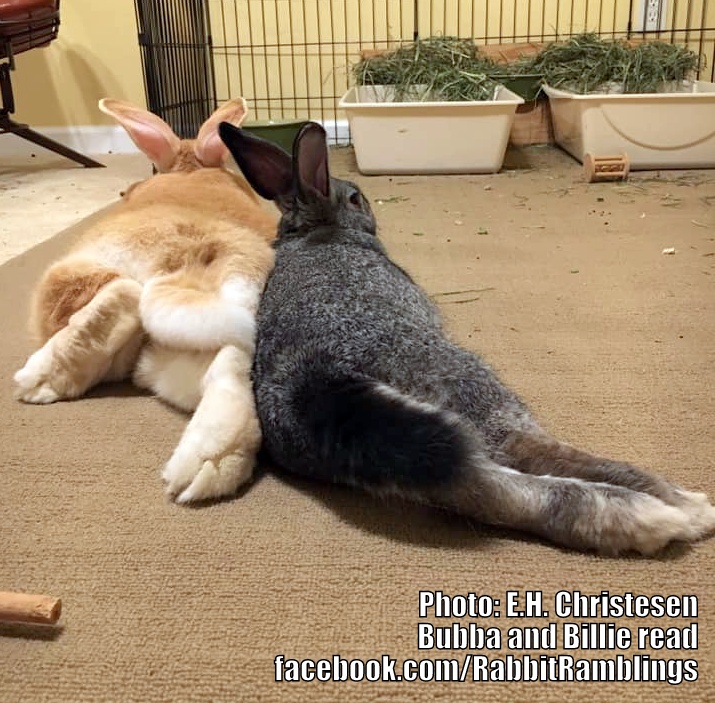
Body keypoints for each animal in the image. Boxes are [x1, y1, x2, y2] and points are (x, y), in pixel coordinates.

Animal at [14, 97, 278, 504]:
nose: (125, 193)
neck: (191, 169)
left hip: (67, 280)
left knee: (123, 296)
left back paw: (39, 379)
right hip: (183, 354)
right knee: (229, 362)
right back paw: (210, 462)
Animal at [218, 120, 715, 555]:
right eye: (356, 198)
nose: (371, 209)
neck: (318, 230)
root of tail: (316, 381)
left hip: (430, 458)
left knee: (493, 493)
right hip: (476, 398)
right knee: (533, 455)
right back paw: (680, 510)